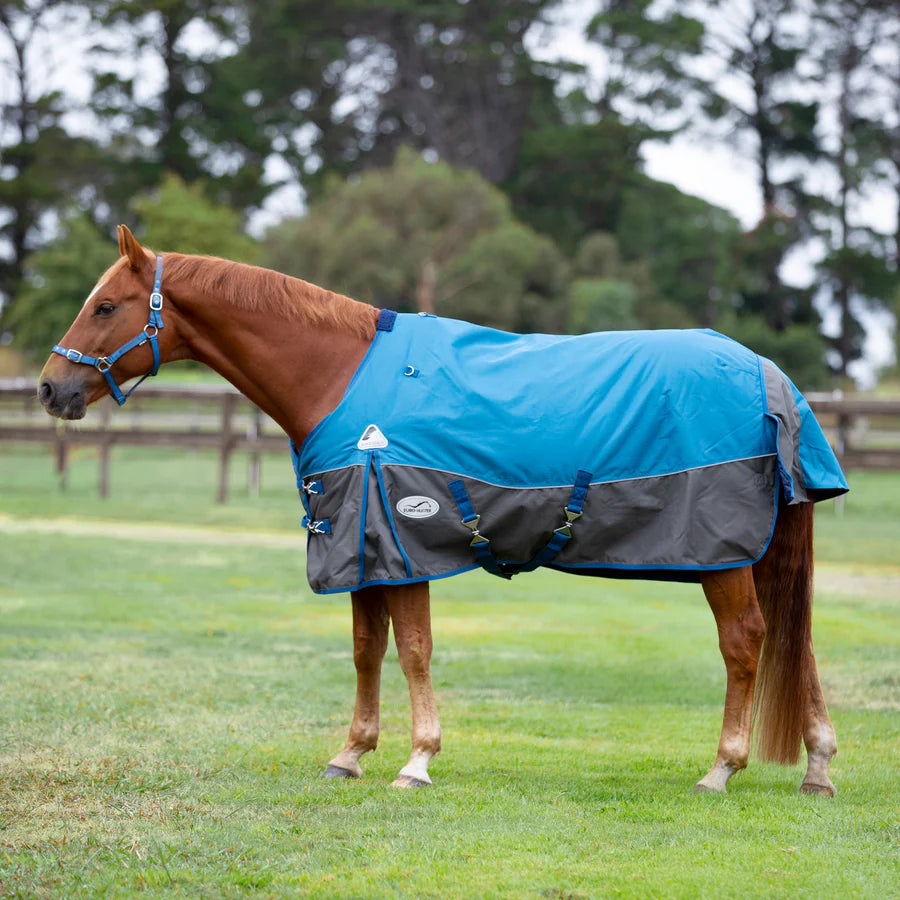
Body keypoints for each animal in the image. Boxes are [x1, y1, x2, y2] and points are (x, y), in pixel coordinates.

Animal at [38, 224, 845, 796]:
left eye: (106, 306)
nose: (49, 388)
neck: (340, 376)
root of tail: (766, 373)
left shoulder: (401, 543)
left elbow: (414, 650)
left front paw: (416, 761)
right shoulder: (360, 550)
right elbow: (368, 650)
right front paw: (350, 754)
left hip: (724, 557)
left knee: (746, 643)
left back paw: (723, 768)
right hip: (763, 554)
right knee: (796, 643)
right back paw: (818, 769)